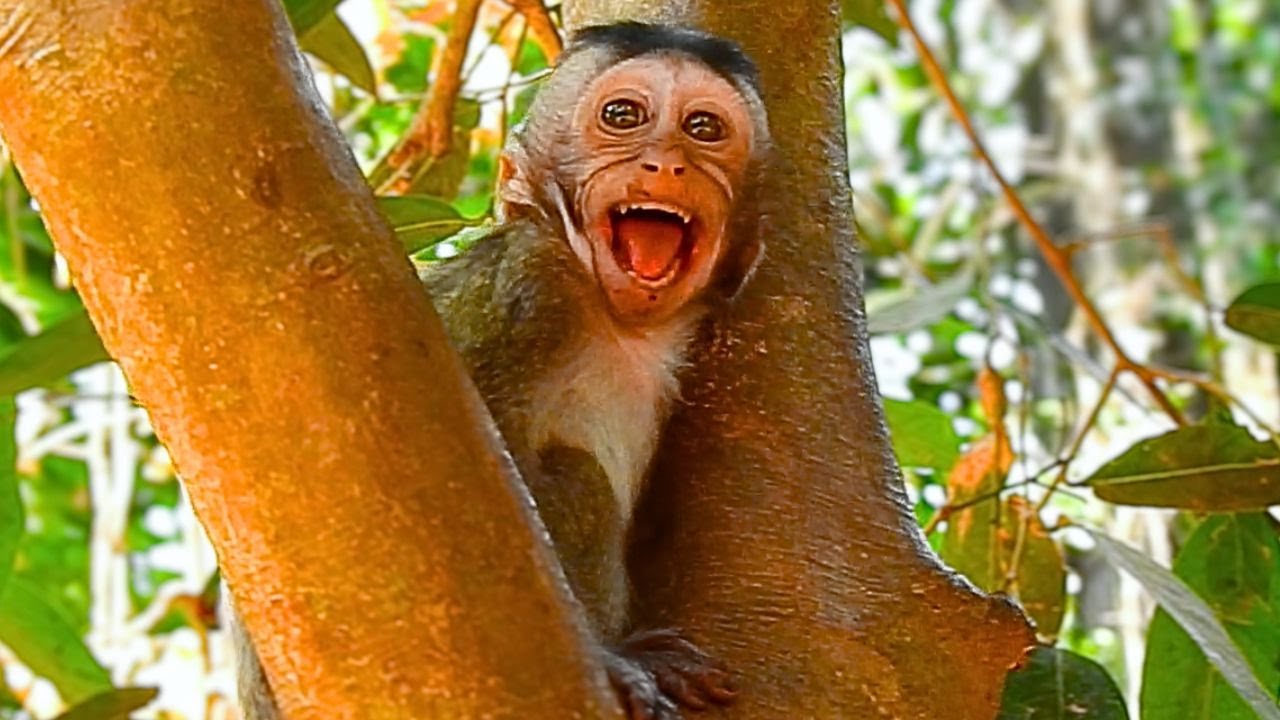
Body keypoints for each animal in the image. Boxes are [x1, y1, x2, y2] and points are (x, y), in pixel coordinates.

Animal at [230, 22, 770, 720]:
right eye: (624, 117)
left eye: (703, 128)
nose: (665, 163)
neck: (616, 321)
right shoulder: (527, 283)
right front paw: (616, 663)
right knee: (576, 471)